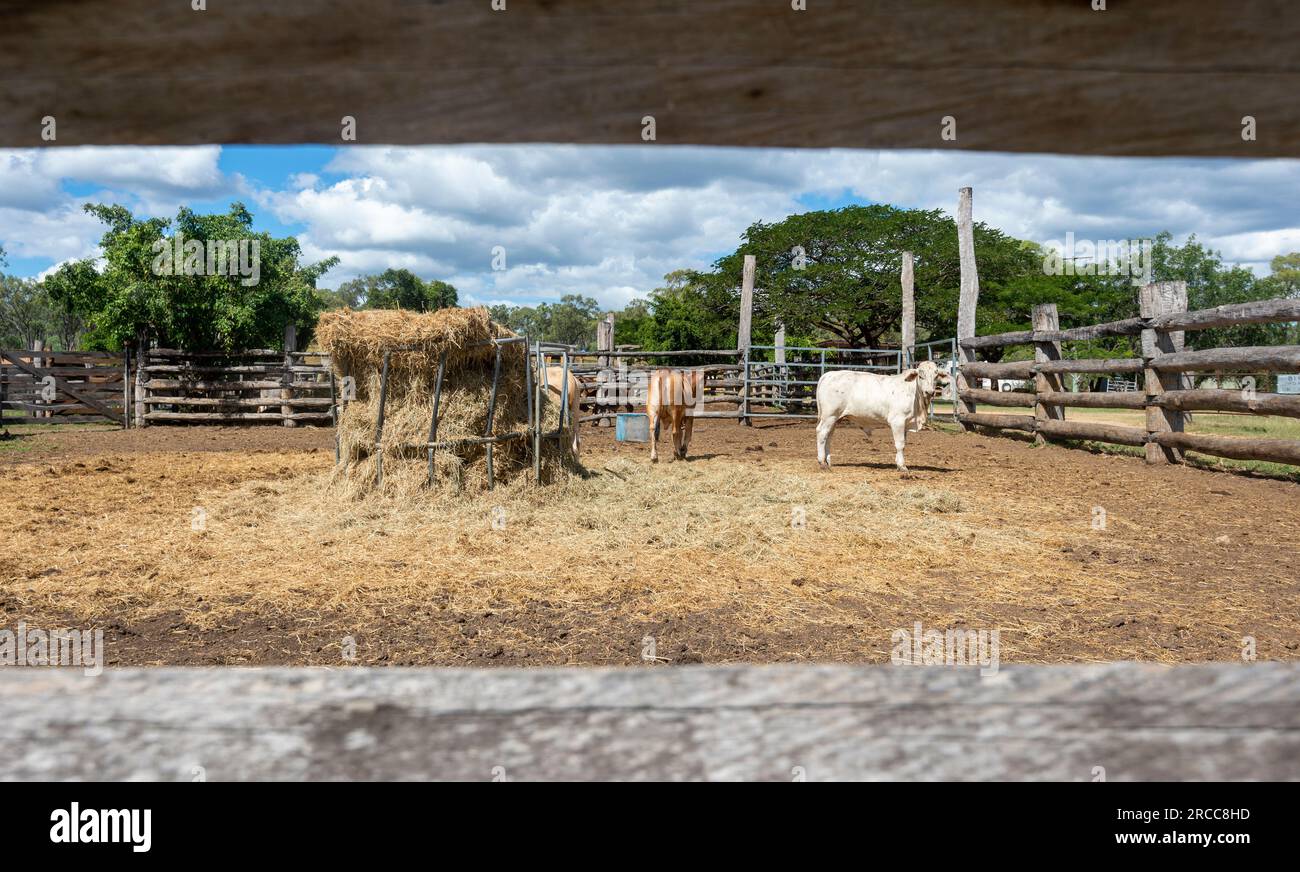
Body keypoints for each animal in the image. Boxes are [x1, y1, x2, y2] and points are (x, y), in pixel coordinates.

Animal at [815, 360, 949, 472]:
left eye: (936, 376)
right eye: (920, 376)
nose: (929, 392)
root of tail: (828, 374)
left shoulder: (905, 424)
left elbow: (903, 444)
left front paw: (898, 463)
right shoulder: (897, 421)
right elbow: (900, 444)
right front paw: (902, 466)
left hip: (835, 418)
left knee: (829, 436)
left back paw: (828, 461)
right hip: (829, 415)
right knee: (822, 433)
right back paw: (822, 463)